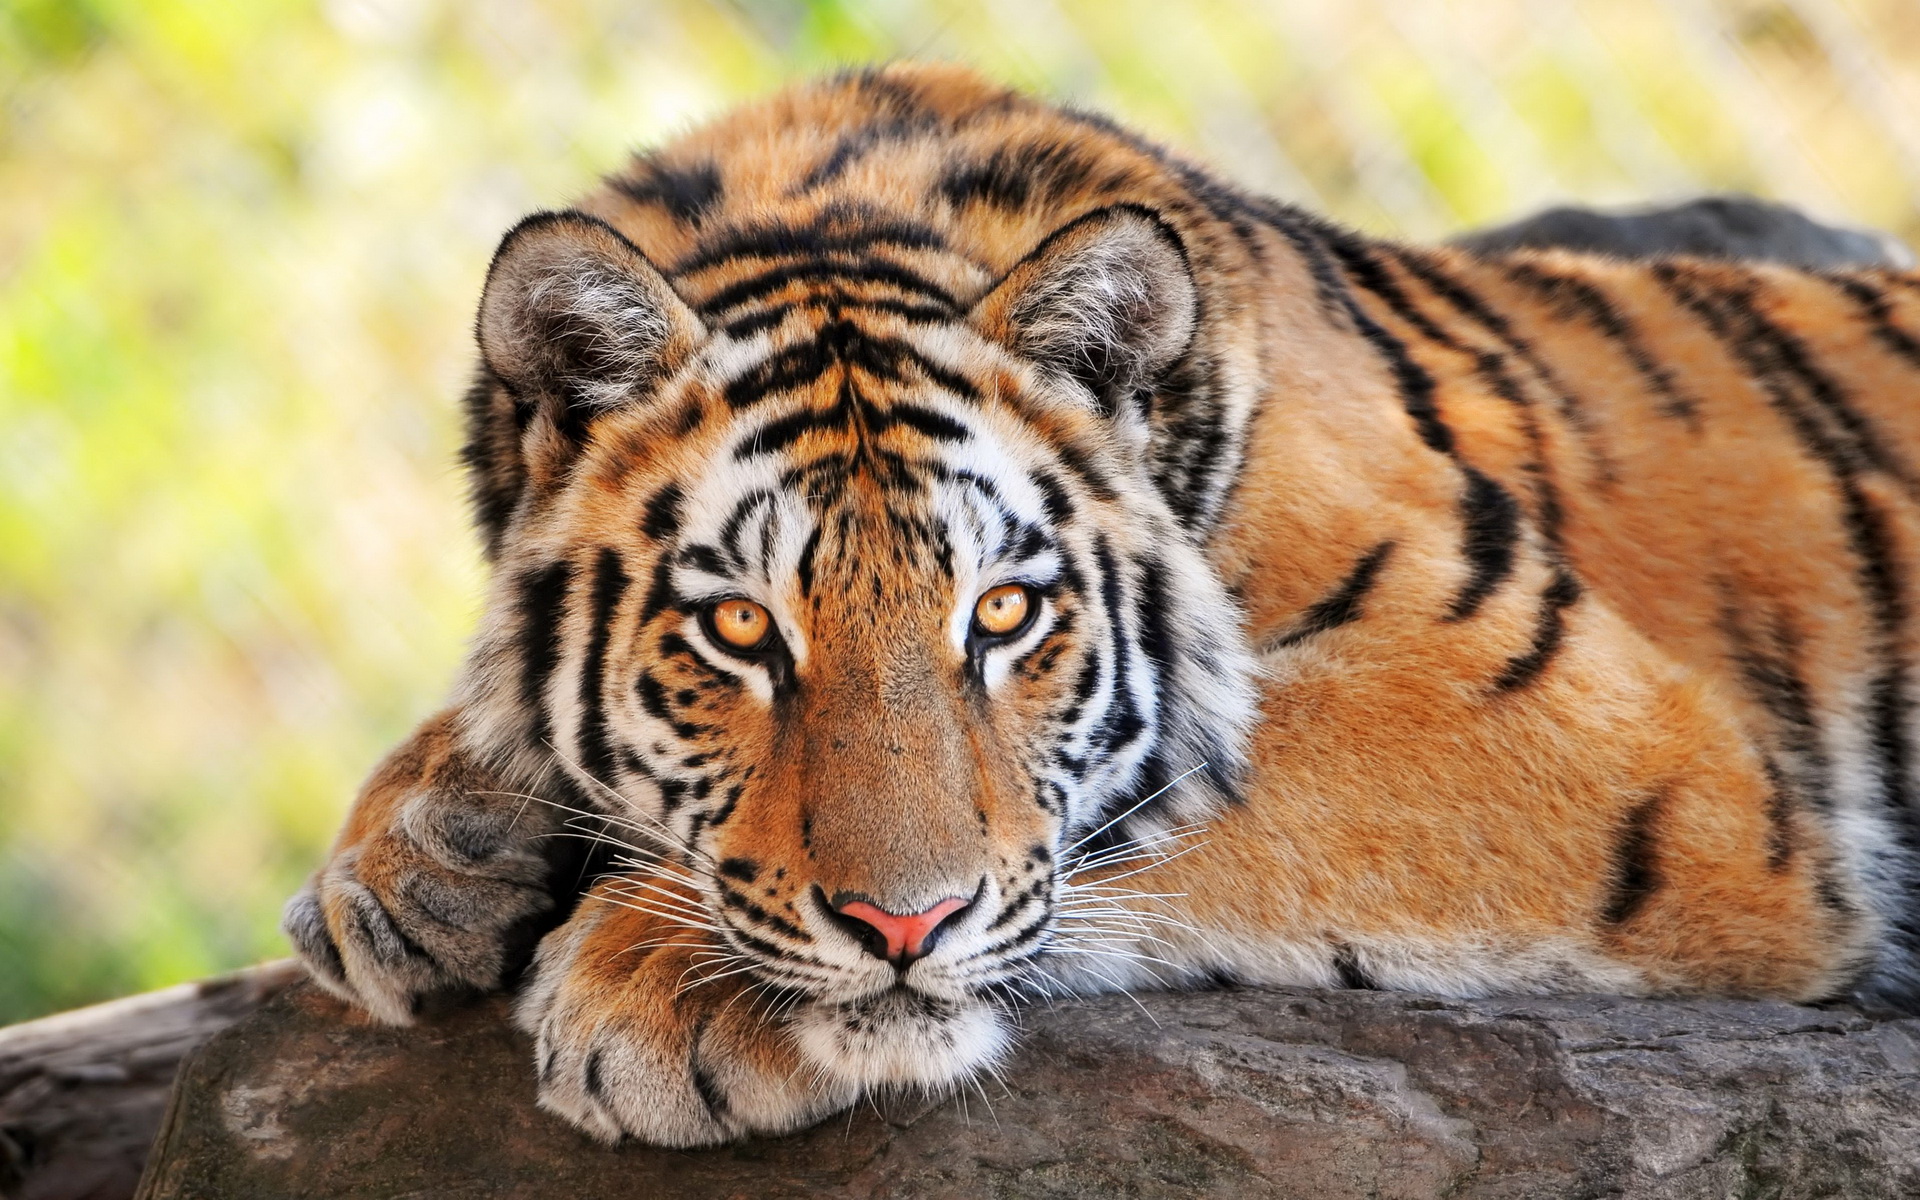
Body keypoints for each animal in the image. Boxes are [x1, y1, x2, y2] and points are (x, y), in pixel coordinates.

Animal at [281, 62, 1920, 1146]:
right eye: (740, 630)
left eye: (1003, 616)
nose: (901, 926)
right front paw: (416, 857)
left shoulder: (1597, 735)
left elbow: (1159, 809)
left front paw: (656, 986)